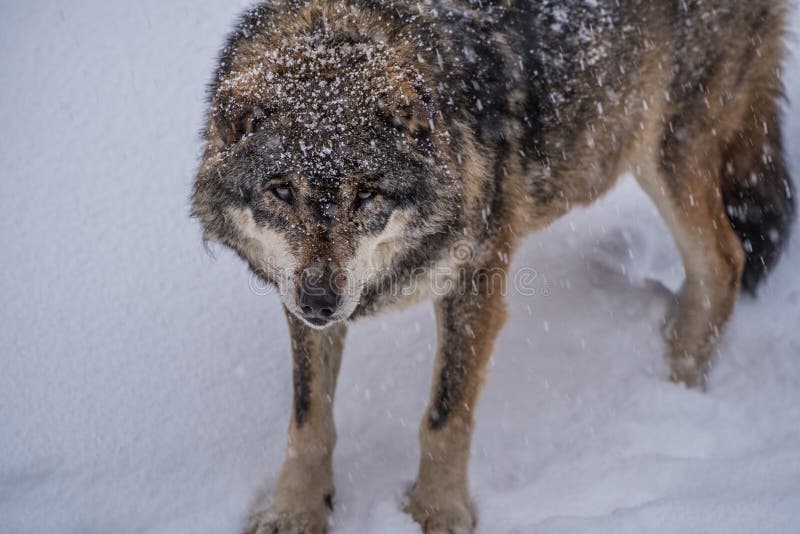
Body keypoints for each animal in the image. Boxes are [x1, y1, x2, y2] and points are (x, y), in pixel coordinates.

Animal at [192, 1, 795, 532]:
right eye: (281, 191)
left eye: (366, 194)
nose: (320, 300)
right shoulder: (297, 299)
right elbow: (309, 418)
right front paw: (294, 512)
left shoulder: (476, 282)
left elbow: (444, 417)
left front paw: (437, 513)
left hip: (667, 152)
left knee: (726, 260)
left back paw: (675, 392)